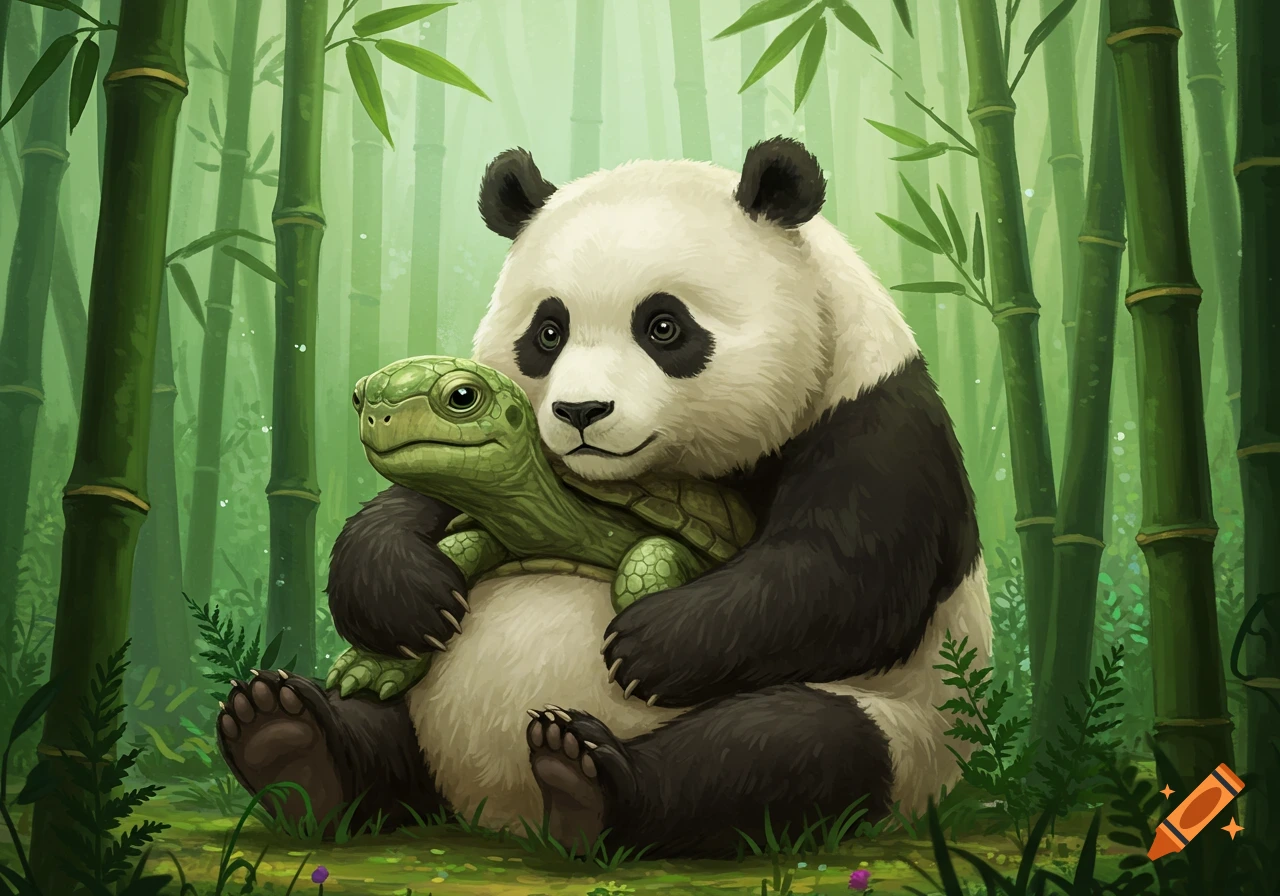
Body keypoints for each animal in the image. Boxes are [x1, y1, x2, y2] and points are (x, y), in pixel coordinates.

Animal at [215, 137, 992, 858]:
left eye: (664, 326)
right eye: (547, 332)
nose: (580, 412)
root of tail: (489, 807)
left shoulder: (876, 416)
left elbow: (847, 576)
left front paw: (650, 643)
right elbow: (416, 508)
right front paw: (402, 593)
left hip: (907, 732)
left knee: (784, 748)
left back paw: (589, 785)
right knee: (384, 735)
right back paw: (290, 742)